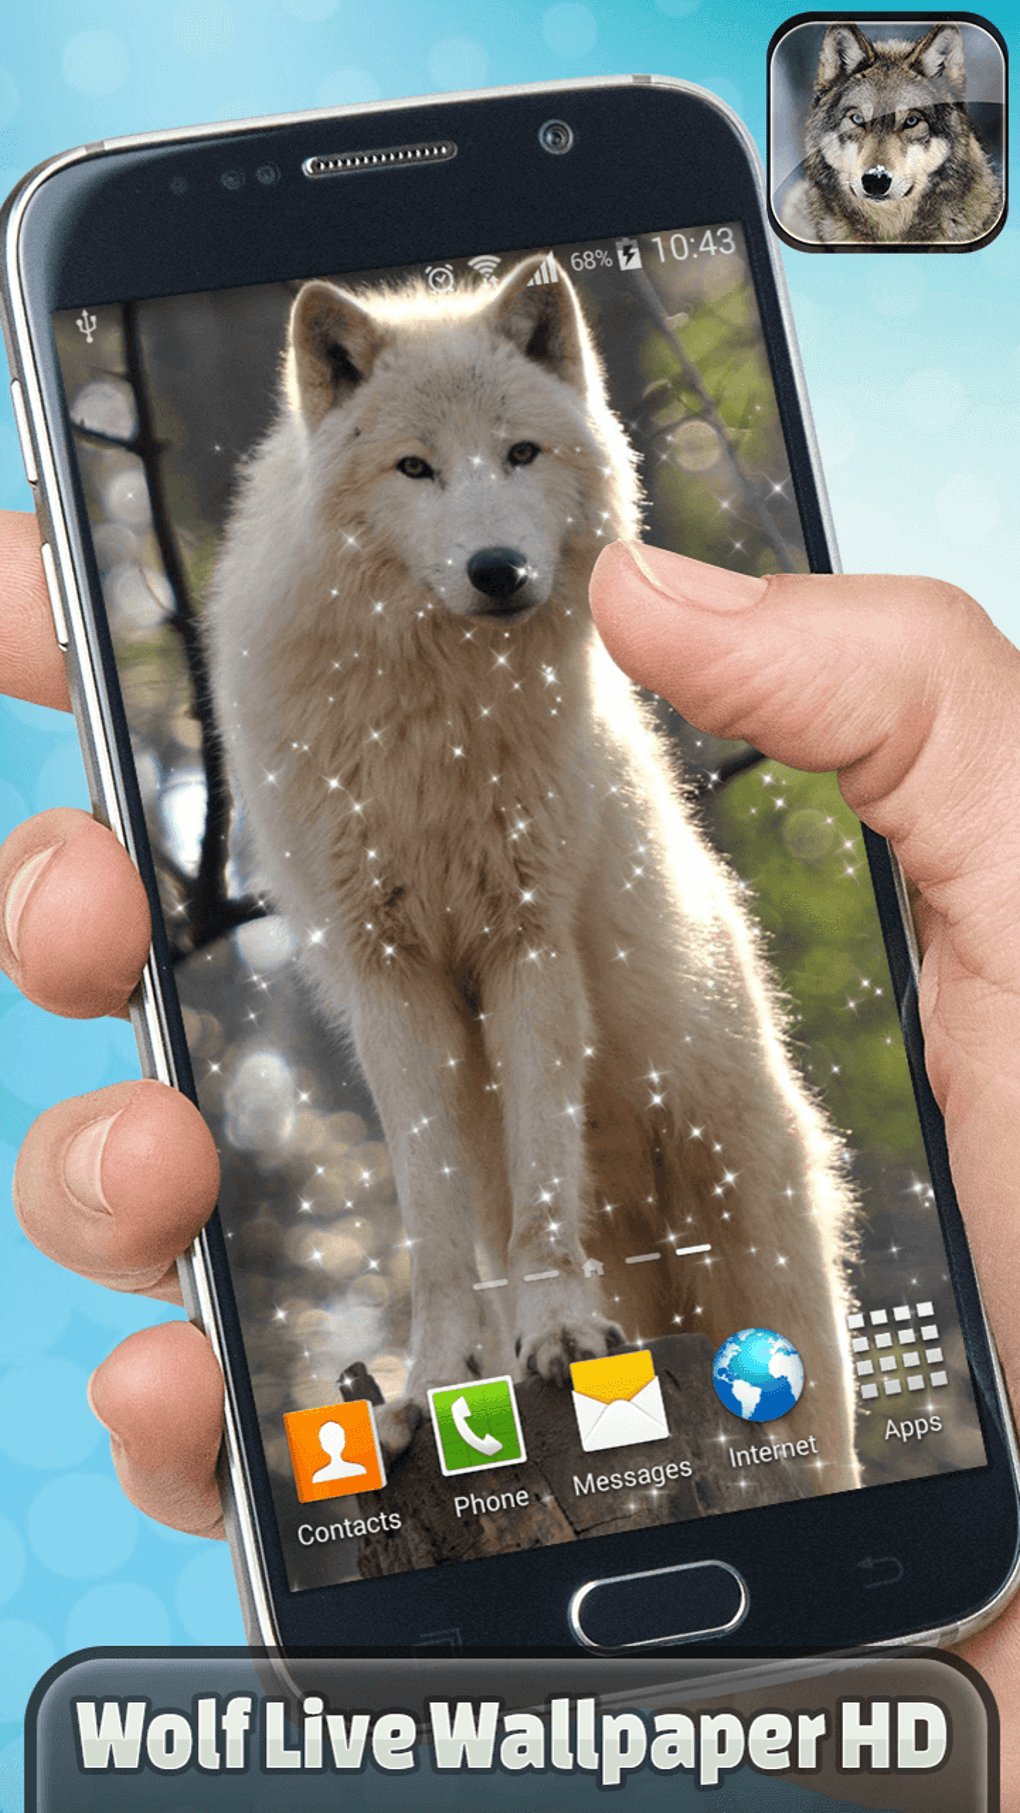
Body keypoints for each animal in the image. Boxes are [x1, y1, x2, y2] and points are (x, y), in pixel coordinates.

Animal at [204, 257, 858, 1483]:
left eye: (519, 454)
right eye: (414, 466)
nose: (497, 569)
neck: (434, 725)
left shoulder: (529, 941)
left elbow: (543, 1202)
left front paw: (560, 1336)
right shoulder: (388, 974)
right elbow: (437, 1228)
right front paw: (437, 1384)